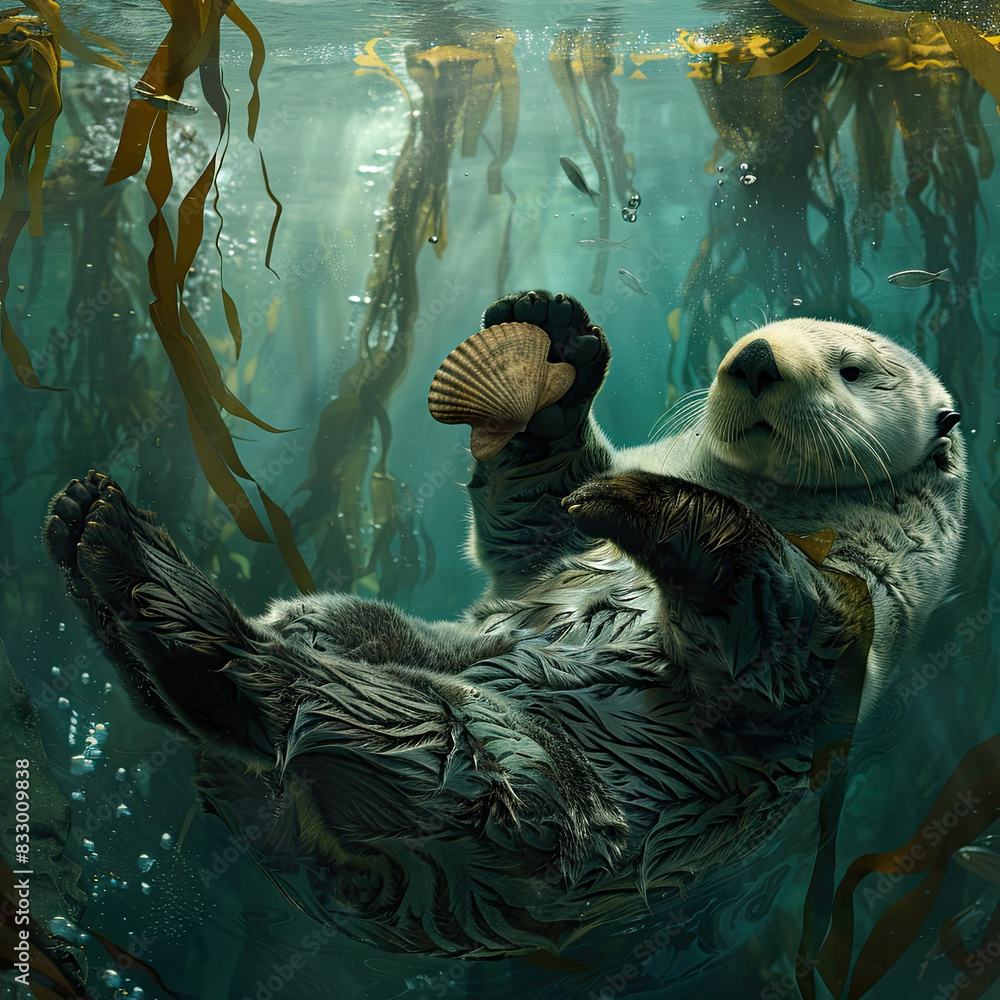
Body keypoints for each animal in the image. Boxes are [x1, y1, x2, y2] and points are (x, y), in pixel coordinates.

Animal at [44, 291, 966, 957]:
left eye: (852, 368)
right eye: (746, 338)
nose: (755, 359)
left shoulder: (846, 623)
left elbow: (775, 624)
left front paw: (636, 499)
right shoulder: (550, 546)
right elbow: (537, 512)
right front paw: (554, 345)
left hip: (510, 785)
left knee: (307, 707)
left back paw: (148, 580)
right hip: (385, 638)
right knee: (324, 653)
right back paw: (89, 536)